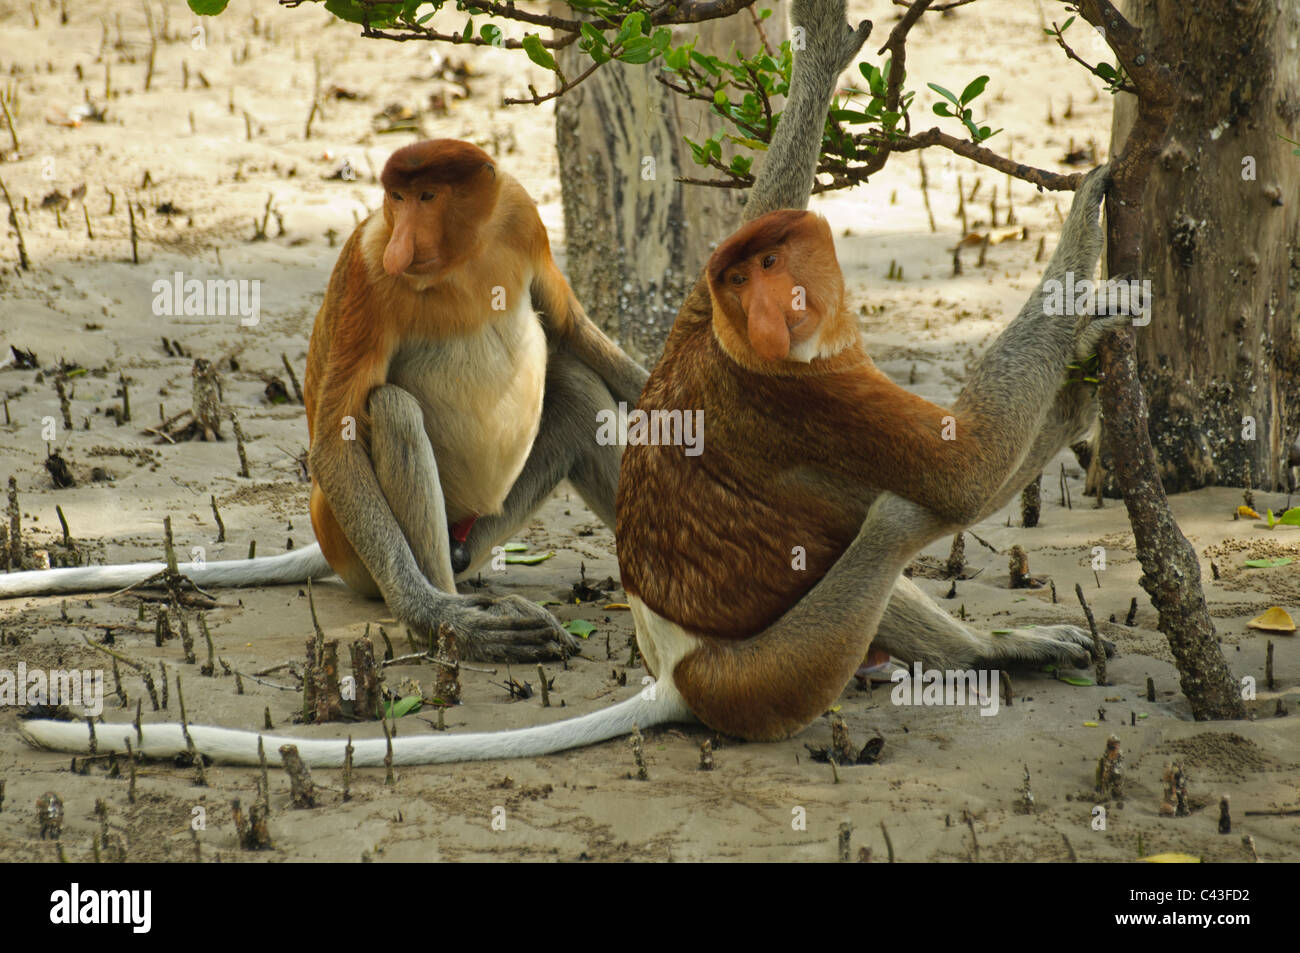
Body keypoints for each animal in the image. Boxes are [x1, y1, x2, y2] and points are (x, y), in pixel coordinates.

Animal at [16, 0, 1123, 766]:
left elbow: (580, 336)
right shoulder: (370, 266)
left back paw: (995, 651)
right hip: (379, 544)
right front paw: (1090, 236)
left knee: (586, 406)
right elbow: (961, 466)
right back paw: (452, 614)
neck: (454, 257)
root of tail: (679, 681)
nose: (406, 224)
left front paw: (819, 57)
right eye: (397, 200)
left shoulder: (524, 226)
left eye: (428, 192)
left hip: (505, 512)